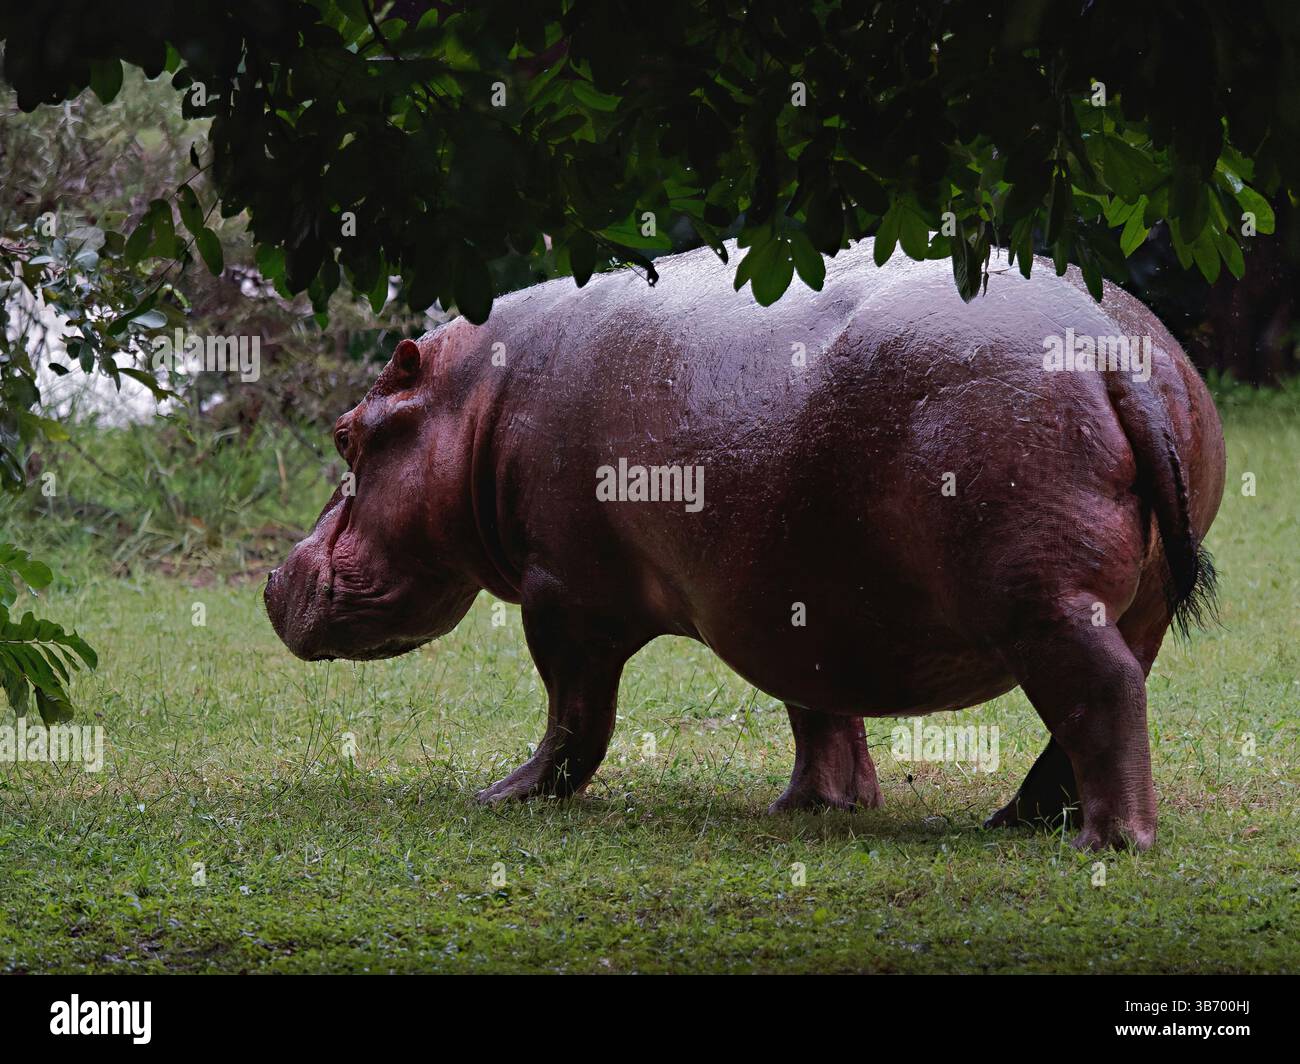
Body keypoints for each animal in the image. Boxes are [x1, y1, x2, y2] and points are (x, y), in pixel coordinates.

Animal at [265, 239, 1225, 851]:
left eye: (348, 436)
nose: (274, 574)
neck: (476, 397)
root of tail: (1117, 352)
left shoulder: (563, 593)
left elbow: (575, 716)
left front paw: (503, 795)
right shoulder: (796, 594)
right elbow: (817, 710)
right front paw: (812, 808)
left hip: (1042, 603)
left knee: (1102, 693)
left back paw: (1109, 843)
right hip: (1120, 604)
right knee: (1096, 705)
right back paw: (1021, 821)